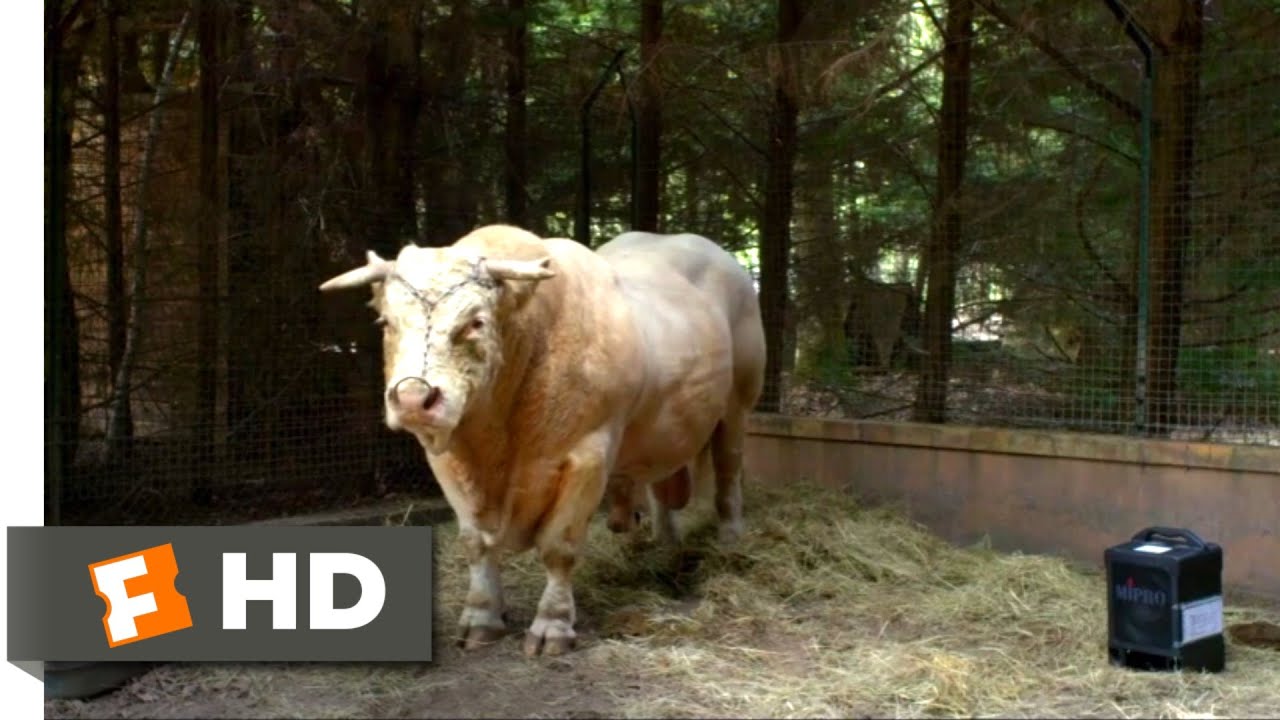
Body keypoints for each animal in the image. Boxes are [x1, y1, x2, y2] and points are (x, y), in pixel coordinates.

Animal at [318, 225, 766, 656]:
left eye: (475, 322)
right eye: (386, 323)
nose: (413, 399)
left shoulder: (588, 455)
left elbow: (558, 546)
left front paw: (553, 624)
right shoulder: (447, 461)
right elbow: (475, 543)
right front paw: (481, 617)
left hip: (738, 403)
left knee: (729, 471)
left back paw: (730, 540)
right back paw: (664, 545)